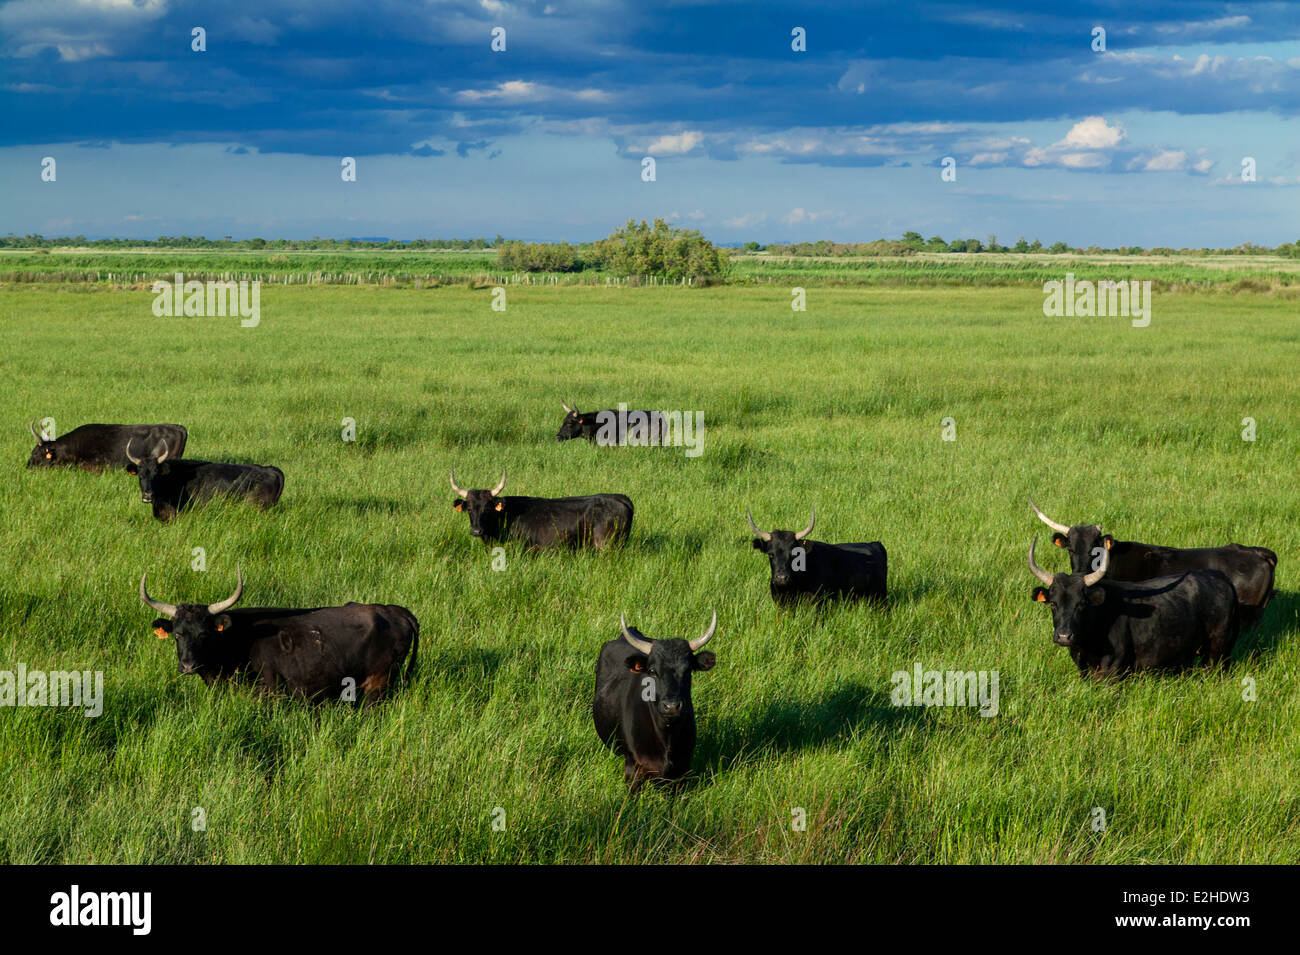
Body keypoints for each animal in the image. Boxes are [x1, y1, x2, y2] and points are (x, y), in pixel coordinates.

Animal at [592, 610, 717, 792]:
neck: (667, 736)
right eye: (652, 671)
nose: (671, 707)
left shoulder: (682, 769)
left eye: (688, 671)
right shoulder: (633, 767)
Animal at [1027, 537, 1239, 679]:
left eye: (1081, 603)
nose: (1064, 636)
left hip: (1217, 651)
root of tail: (1220, 579)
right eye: (1053, 603)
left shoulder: (1111, 673)